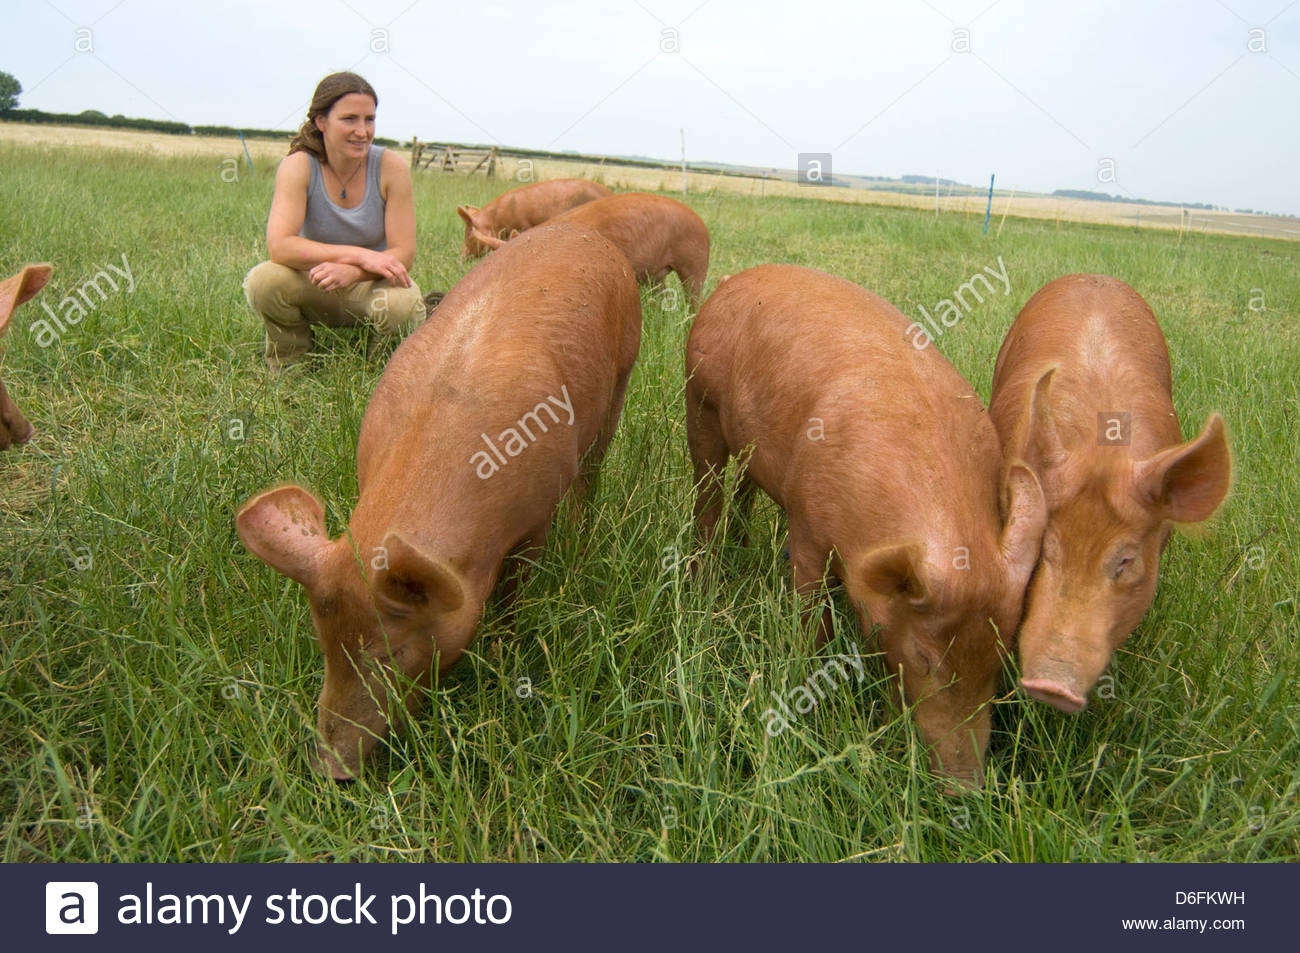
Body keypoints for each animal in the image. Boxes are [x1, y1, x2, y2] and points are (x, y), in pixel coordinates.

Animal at [236, 224, 642, 778]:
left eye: (391, 653)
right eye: (325, 644)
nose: (330, 770)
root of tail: (581, 230)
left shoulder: (535, 518)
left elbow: (516, 589)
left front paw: (504, 650)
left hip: (624, 371)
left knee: (593, 471)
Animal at [686, 264, 1048, 787]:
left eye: (999, 660)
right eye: (925, 658)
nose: (966, 787)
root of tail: (734, 282)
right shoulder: (808, 522)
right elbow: (811, 613)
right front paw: (804, 676)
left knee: (744, 484)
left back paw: (743, 540)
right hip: (700, 398)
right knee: (707, 487)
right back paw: (704, 575)